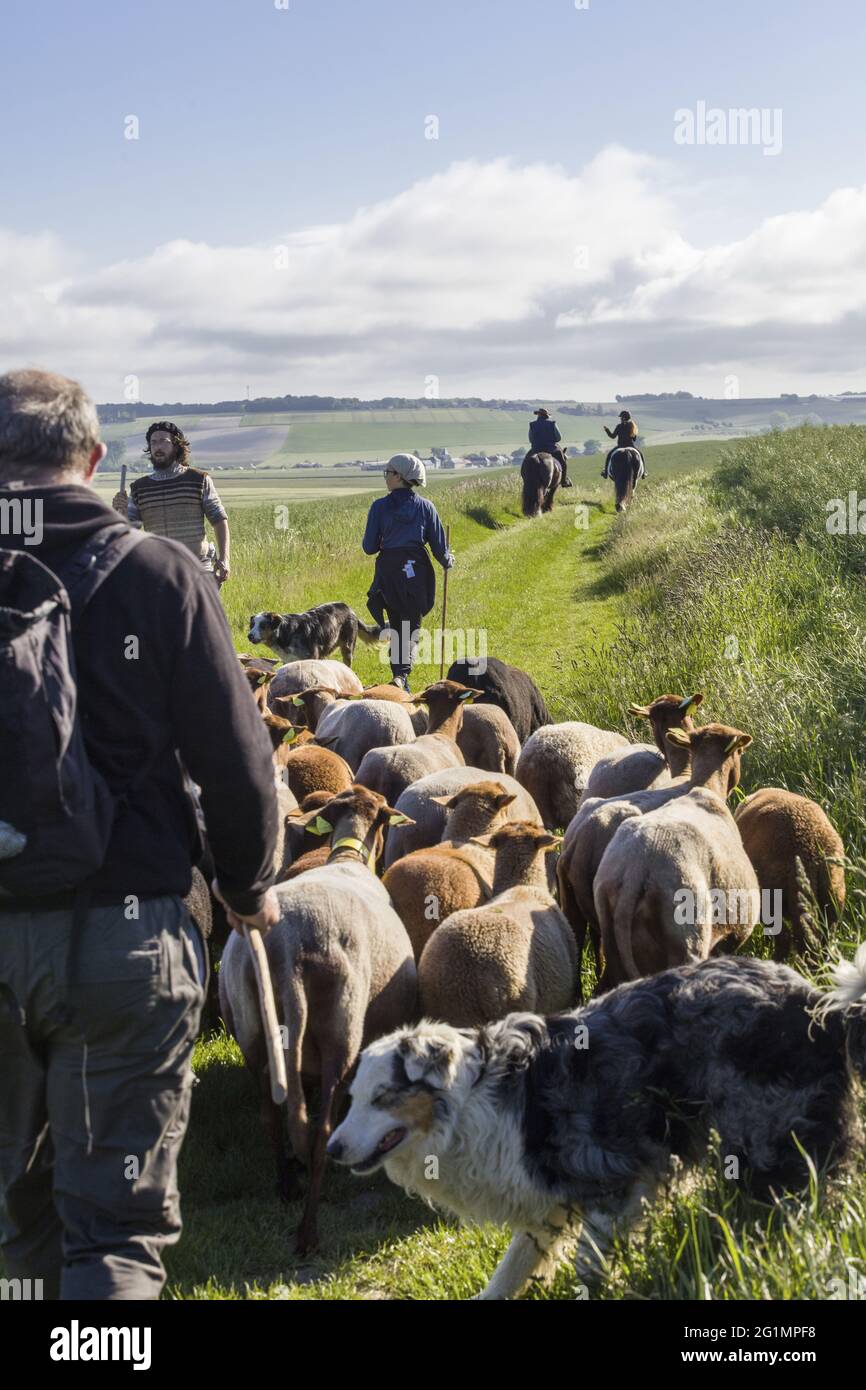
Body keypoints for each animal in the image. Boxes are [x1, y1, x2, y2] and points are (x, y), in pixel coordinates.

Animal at [219, 784, 417, 1254]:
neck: (347, 859)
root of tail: (288, 944)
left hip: (253, 1032)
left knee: (274, 1116)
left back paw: (287, 1186)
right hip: (341, 1029)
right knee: (323, 1127)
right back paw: (308, 1231)